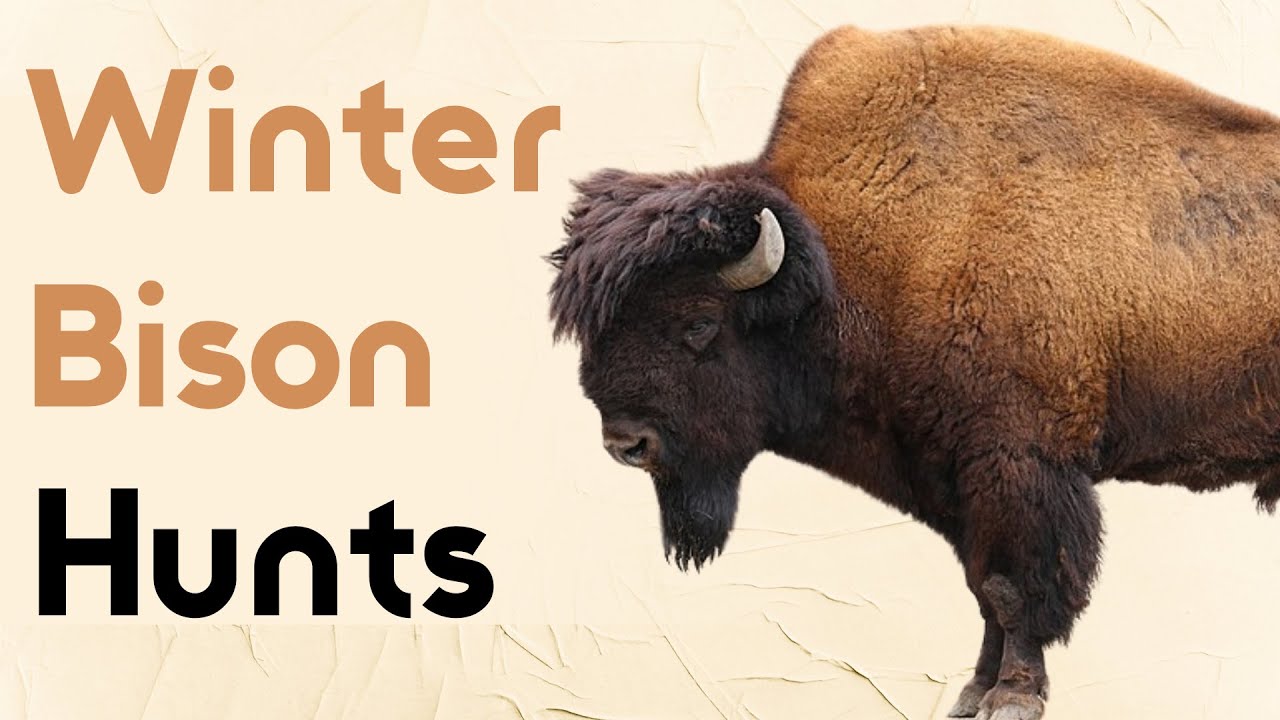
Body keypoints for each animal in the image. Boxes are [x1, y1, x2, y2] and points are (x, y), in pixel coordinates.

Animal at [547, 24, 1280, 720]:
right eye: (597, 330)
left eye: (699, 324)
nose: (626, 444)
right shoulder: (950, 480)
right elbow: (985, 592)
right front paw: (973, 692)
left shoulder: (1017, 466)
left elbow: (1018, 589)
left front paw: (1014, 698)